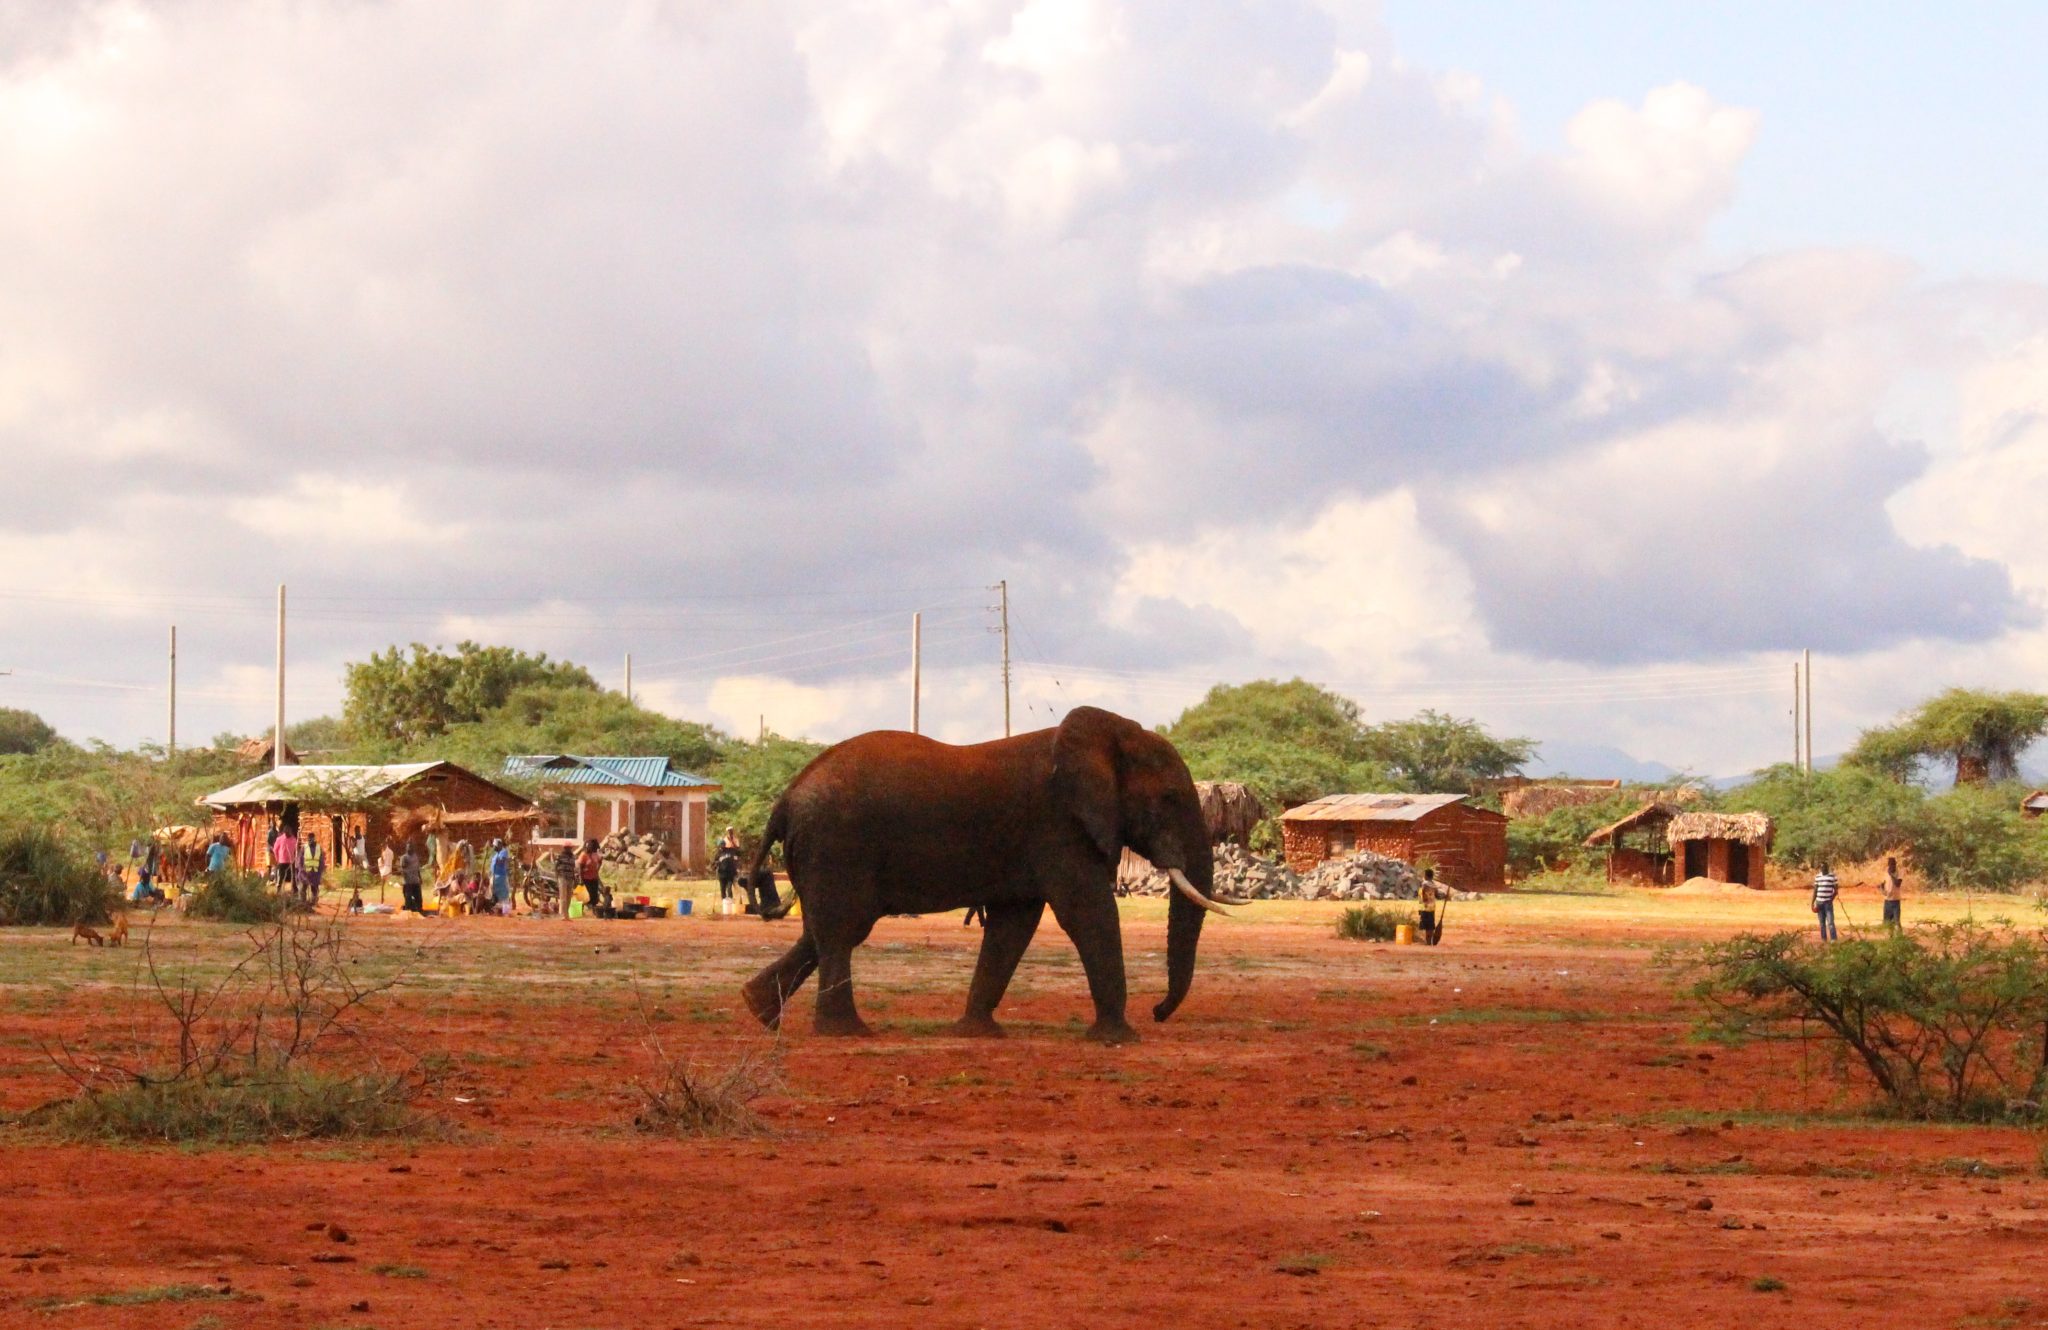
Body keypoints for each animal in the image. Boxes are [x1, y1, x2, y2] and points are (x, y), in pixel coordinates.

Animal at [738, 706, 1242, 1043]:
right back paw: (846, 1033)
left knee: (824, 932)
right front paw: (1119, 1040)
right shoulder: (1060, 827)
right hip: (837, 846)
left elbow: (1013, 925)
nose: (1158, 1011)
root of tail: (784, 800)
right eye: (1170, 798)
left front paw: (976, 1032)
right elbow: (1088, 913)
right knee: (842, 931)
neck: (1104, 739)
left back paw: (759, 1010)